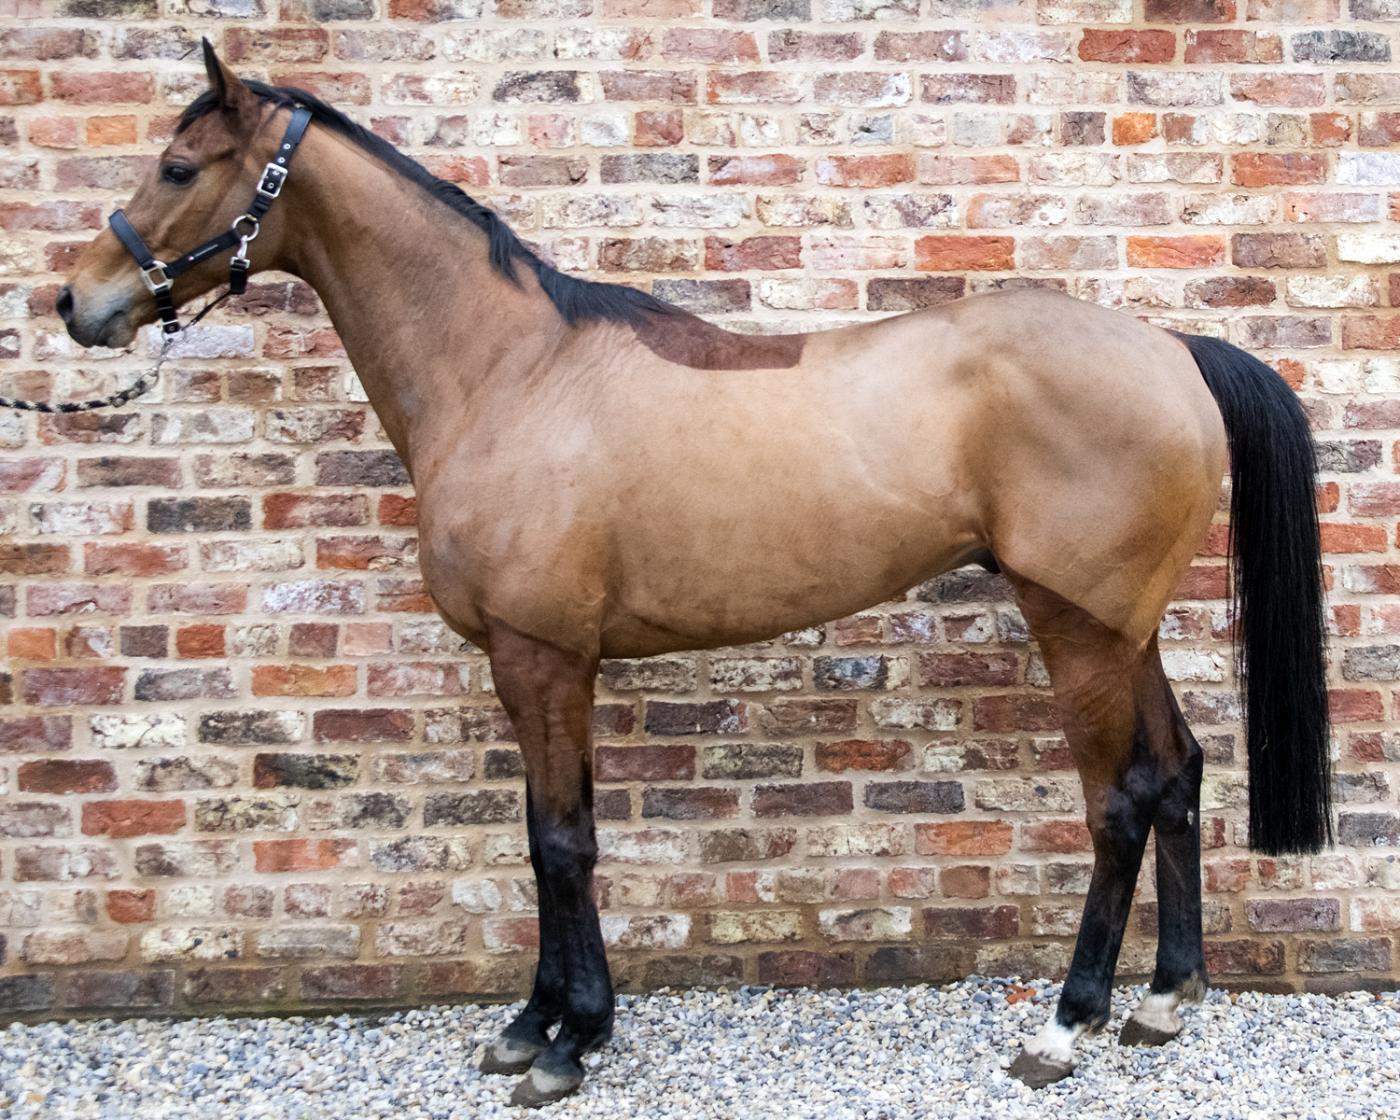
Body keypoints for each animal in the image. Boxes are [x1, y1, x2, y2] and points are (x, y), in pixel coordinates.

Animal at [55, 42, 1330, 1108]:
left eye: (178, 165)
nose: (79, 301)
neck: (511, 373)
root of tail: (1171, 349)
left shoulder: (540, 657)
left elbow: (559, 843)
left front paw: (564, 1040)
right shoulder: (547, 664)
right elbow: (552, 831)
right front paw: (536, 1024)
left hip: (1075, 628)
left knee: (1117, 801)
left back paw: (1062, 1027)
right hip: (1122, 624)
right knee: (1175, 773)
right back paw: (1161, 1003)